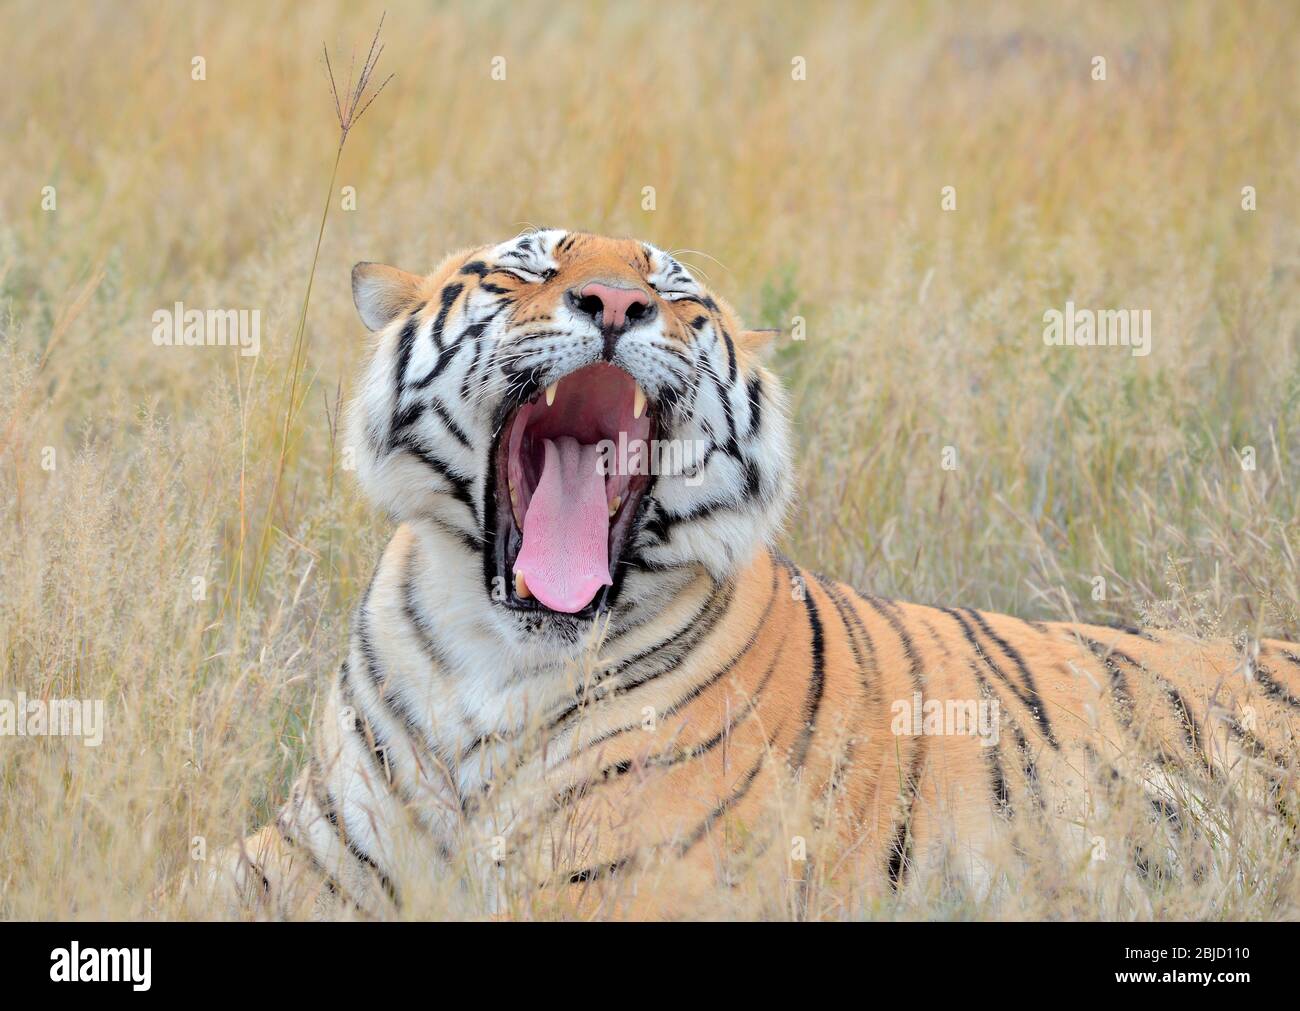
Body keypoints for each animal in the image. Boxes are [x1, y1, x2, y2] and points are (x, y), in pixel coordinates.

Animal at [208, 229, 1300, 920]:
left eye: (677, 293)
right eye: (526, 269)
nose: (617, 303)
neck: (493, 658)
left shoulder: (618, 882)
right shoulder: (302, 855)